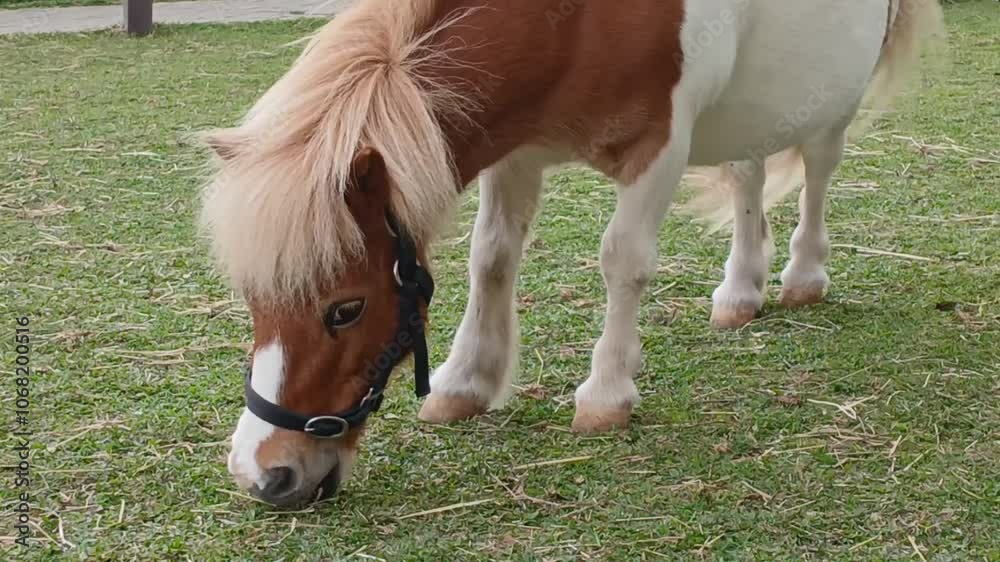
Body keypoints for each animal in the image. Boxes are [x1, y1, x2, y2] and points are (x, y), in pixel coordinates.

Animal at [200, 0, 944, 506]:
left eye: (346, 309)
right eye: (254, 302)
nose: (265, 473)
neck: (578, 23)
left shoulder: (659, 151)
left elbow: (623, 261)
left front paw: (607, 394)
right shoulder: (515, 148)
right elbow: (491, 257)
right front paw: (465, 382)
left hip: (832, 100)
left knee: (818, 168)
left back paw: (803, 276)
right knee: (748, 175)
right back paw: (741, 291)